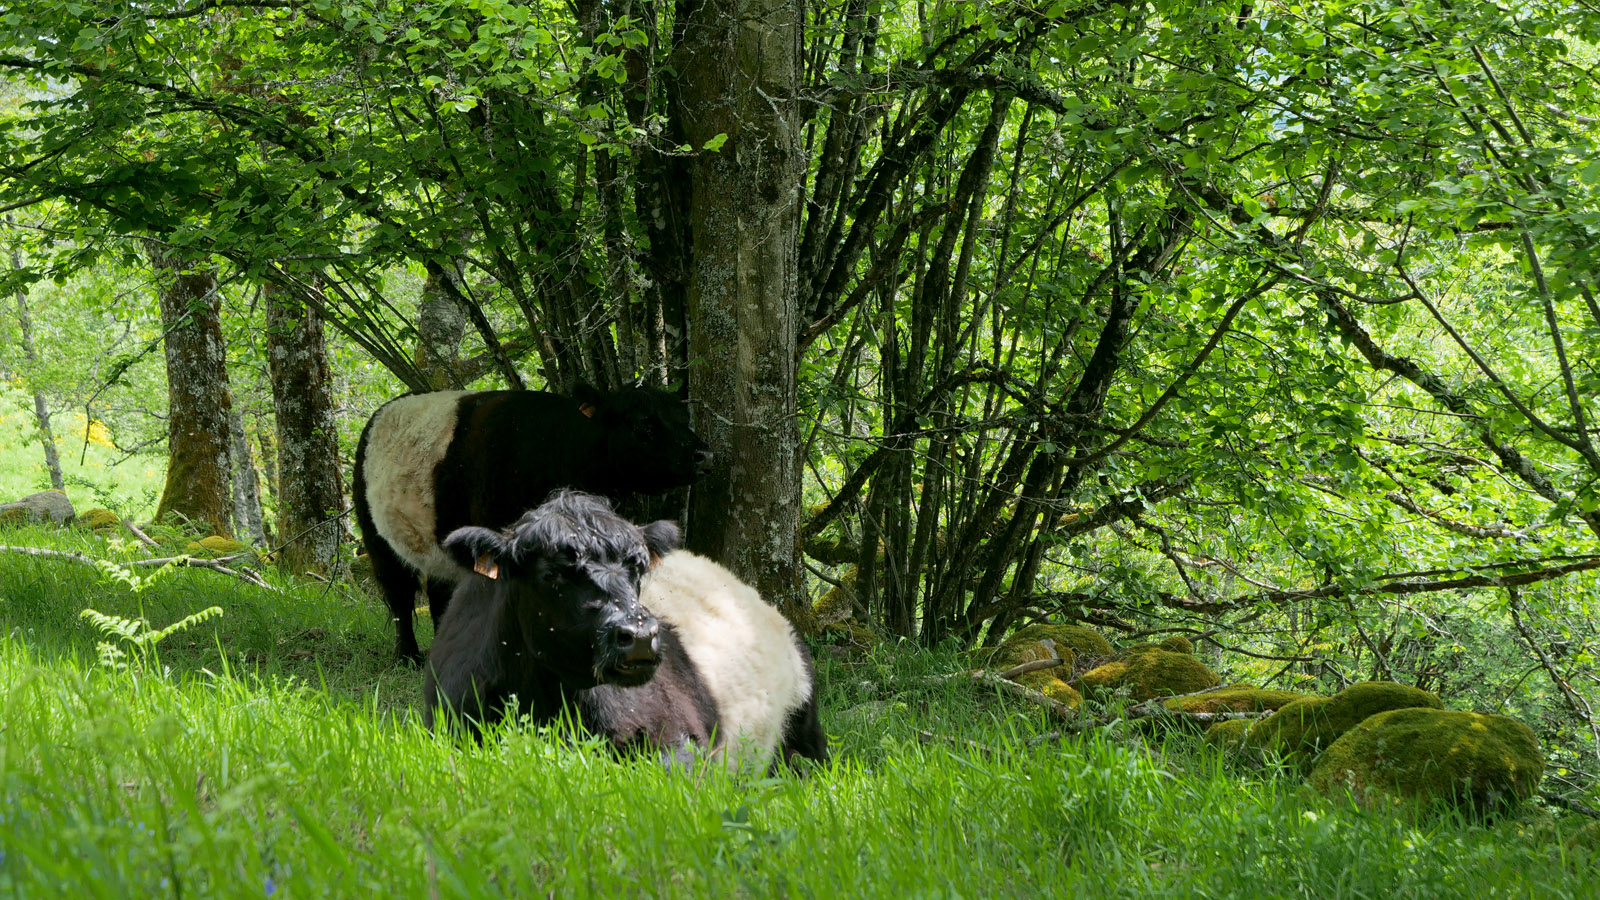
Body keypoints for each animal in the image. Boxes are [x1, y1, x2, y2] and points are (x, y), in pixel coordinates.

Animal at [353, 381, 710, 662]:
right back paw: (407, 656)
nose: (703, 454)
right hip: (378, 540)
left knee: (438, 593)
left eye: (684, 418)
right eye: (644, 425)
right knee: (399, 595)